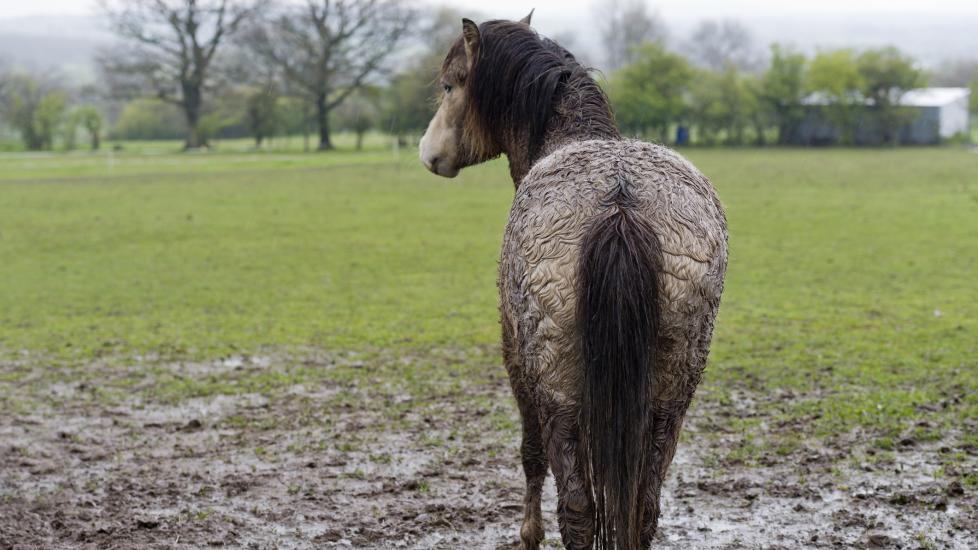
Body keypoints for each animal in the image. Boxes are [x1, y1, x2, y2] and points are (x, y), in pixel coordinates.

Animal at [419, 13, 728, 550]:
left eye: (449, 84)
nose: (428, 151)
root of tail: (621, 204)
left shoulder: (516, 356)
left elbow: (531, 454)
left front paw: (528, 532)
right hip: (669, 398)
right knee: (642, 508)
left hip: (557, 388)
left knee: (579, 507)